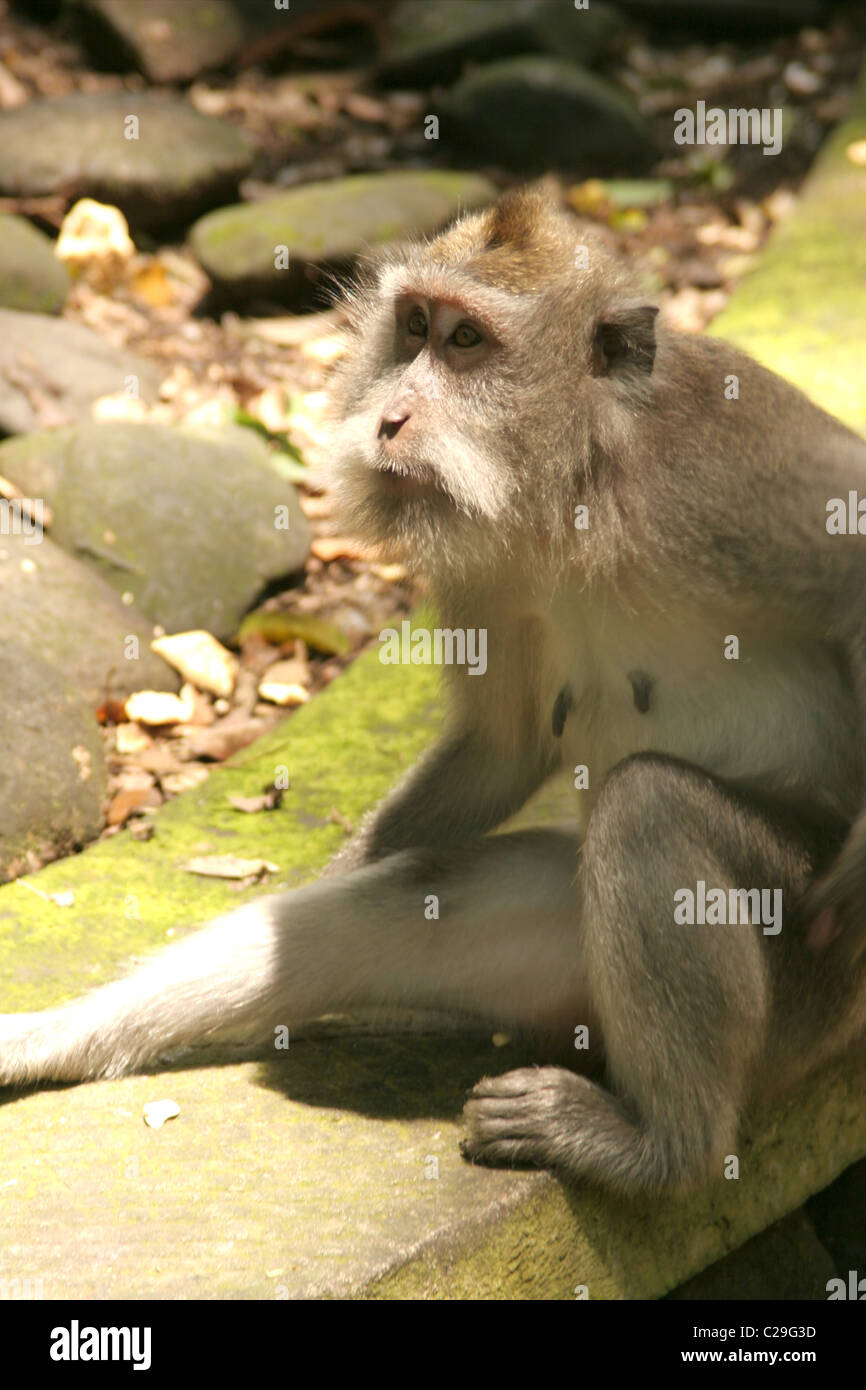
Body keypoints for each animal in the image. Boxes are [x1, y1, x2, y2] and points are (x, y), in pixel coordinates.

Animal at [2, 188, 866, 1196]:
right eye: (414, 327)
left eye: (467, 343)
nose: (388, 420)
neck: (578, 496)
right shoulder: (483, 563)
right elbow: (503, 746)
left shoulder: (723, 482)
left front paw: (858, 869)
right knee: (387, 907)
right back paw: (58, 1038)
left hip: (807, 996)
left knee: (651, 808)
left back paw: (663, 1151)